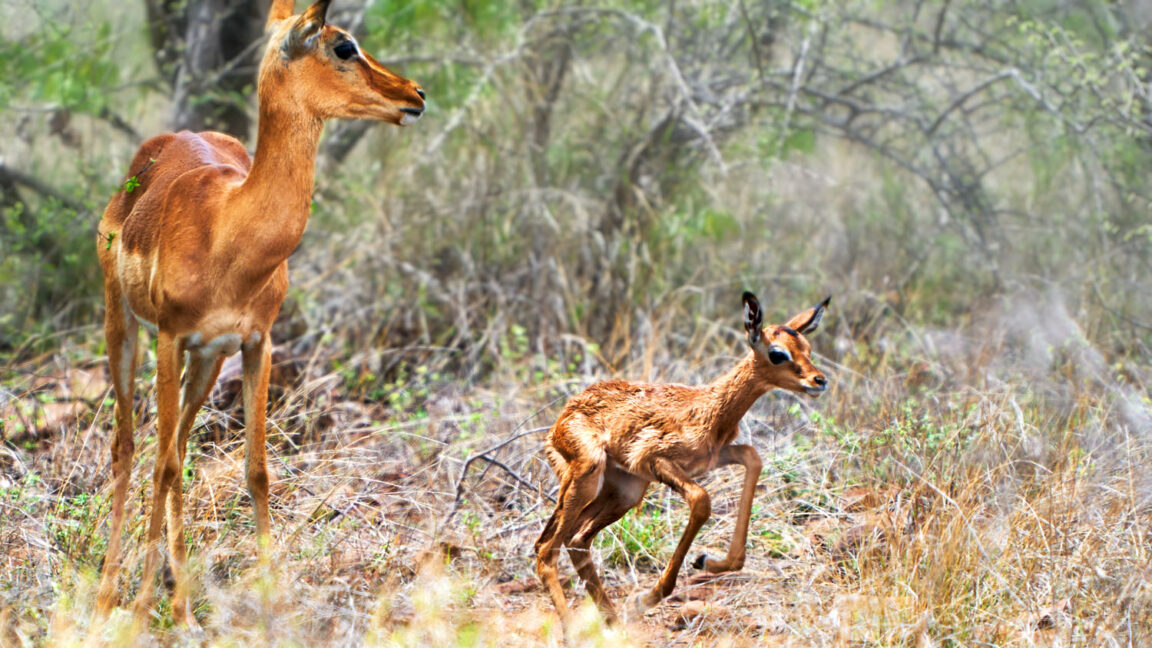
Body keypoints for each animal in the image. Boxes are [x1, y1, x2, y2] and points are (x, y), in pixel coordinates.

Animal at [93, 0, 424, 628]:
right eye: (343, 45)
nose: (415, 93)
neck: (229, 228)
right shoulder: (169, 336)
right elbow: (159, 463)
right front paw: (141, 604)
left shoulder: (256, 342)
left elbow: (256, 468)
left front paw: (271, 603)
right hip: (123, 326)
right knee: (129, 446)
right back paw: (108, 594)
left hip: (207, 360)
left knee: (179, 444)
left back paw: (183, 603)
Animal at [534, 292, 830, 625]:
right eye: (777, 353)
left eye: (807, 348)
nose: (819, 380)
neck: (710, 409)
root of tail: (558, 424)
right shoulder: (657, 460)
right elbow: (701, 501)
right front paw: (650, 595)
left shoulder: (713, 458)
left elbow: (753, 458)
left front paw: (706, 560)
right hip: (587, 477)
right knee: (546, 549)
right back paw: (574, 627)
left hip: (625, 492)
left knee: (577, 541)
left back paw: (614, 620)